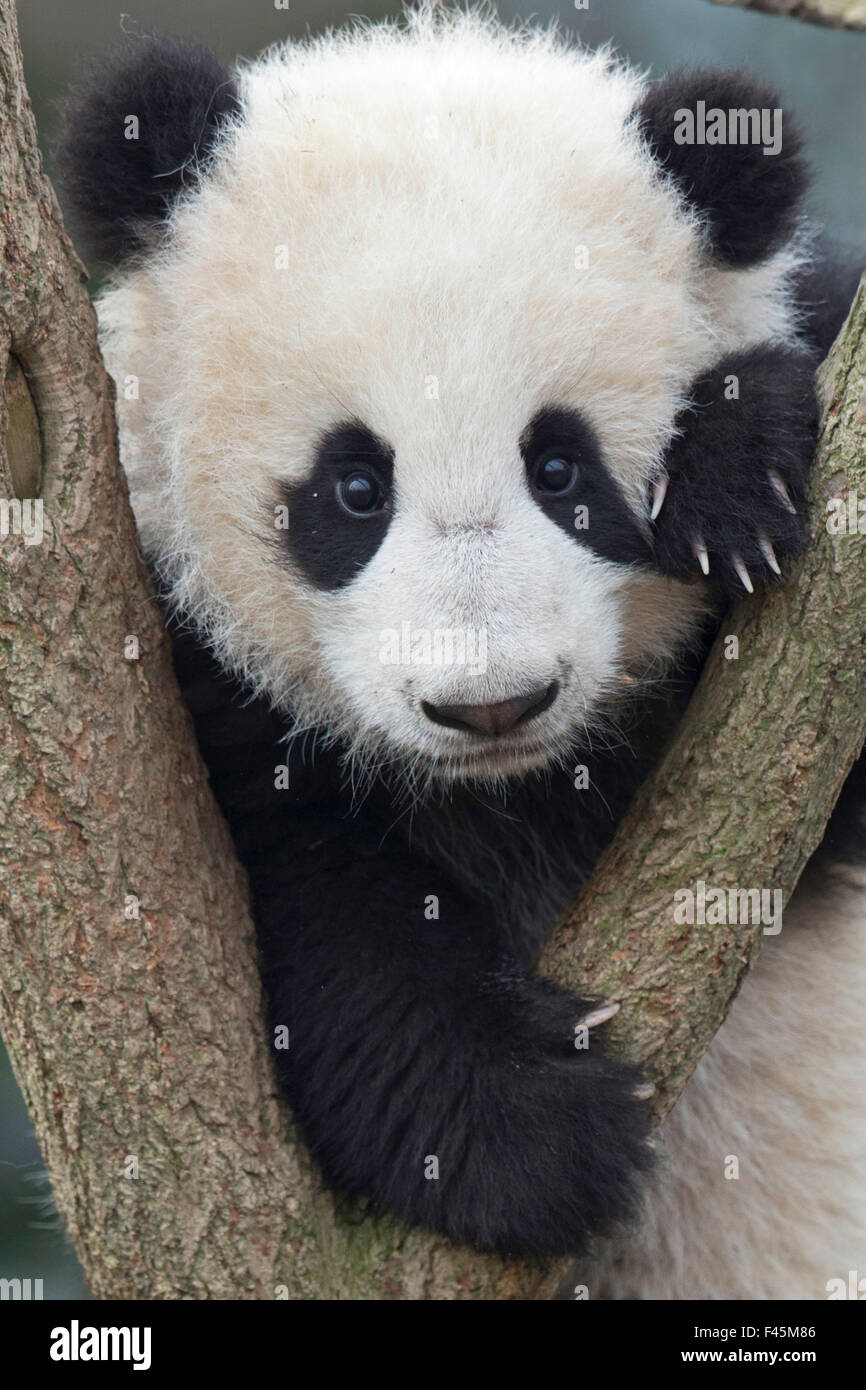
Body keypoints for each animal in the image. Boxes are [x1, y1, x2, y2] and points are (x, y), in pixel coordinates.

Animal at [58, 8, 866, 1298]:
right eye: (353, 486)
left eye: (561, 468)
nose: (491, 705)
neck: (513, 785)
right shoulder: (188, 663)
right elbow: (319, 911)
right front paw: (530, 1130)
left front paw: (734, 472)